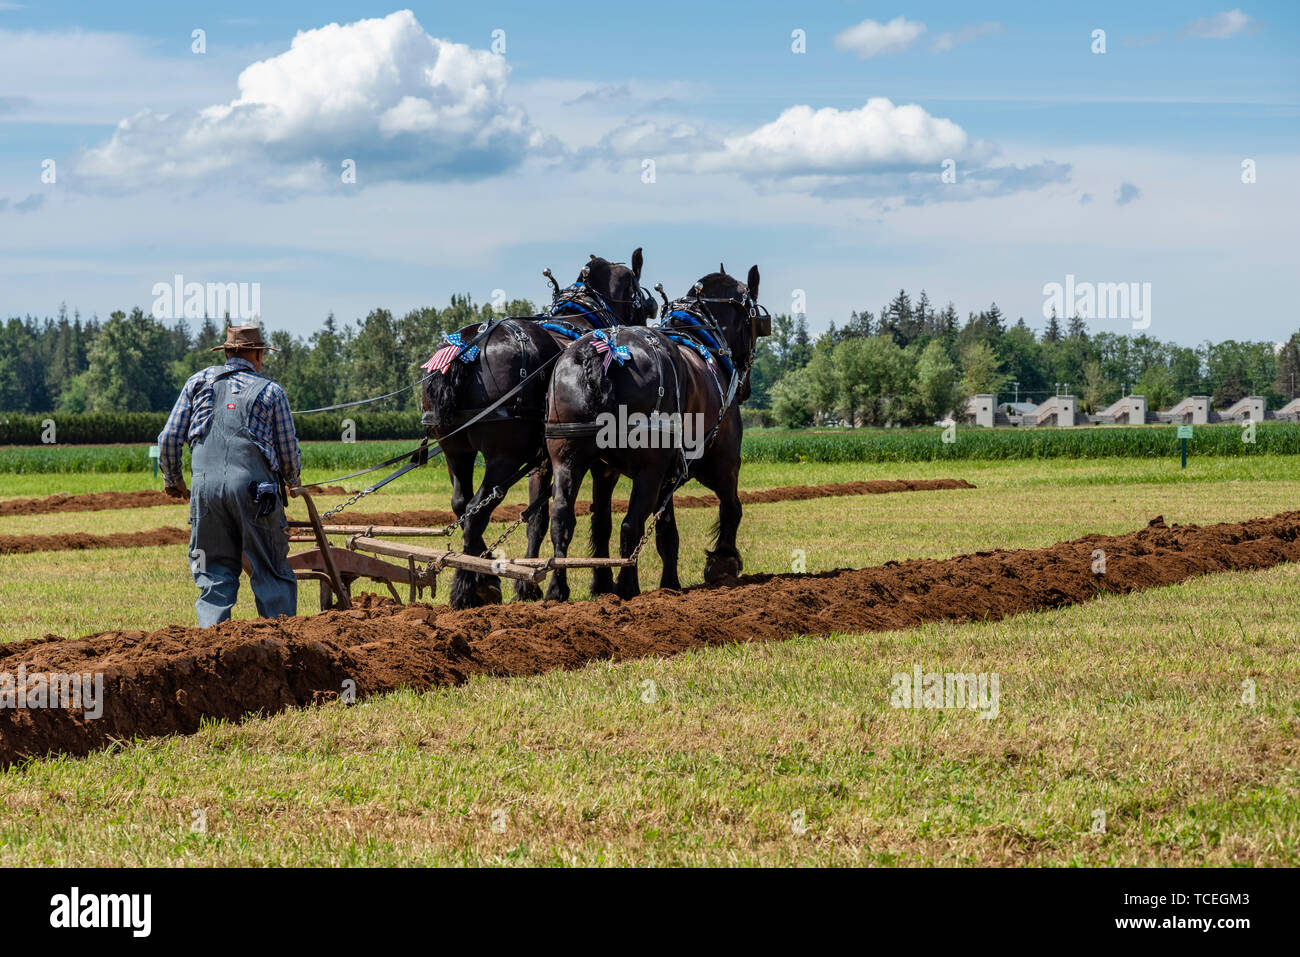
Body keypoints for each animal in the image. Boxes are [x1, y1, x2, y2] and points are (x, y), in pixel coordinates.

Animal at [421, 250, 654, 609]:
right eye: (638, 293)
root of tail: (469, 345)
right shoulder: (589, 461)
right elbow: (594, 517)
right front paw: (592, 582)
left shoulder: (541, 461)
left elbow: (536, 519)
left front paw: (525, 586)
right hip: (503, 456)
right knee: (475, 511)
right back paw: (469, 585)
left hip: (454, 451)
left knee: (462, 504)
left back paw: (482, 578)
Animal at [543, 264, 767, 601]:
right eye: (755, 321)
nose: (746, 389)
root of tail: (604, 351)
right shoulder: (723, 465)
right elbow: (731, 508)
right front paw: (723, 562)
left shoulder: (653, 475)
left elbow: (664, 533)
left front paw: (669, 584)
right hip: (650, 470)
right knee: (631, 525)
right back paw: (626, 587)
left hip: (570, 459)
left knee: (563, 518)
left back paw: (559, 589)